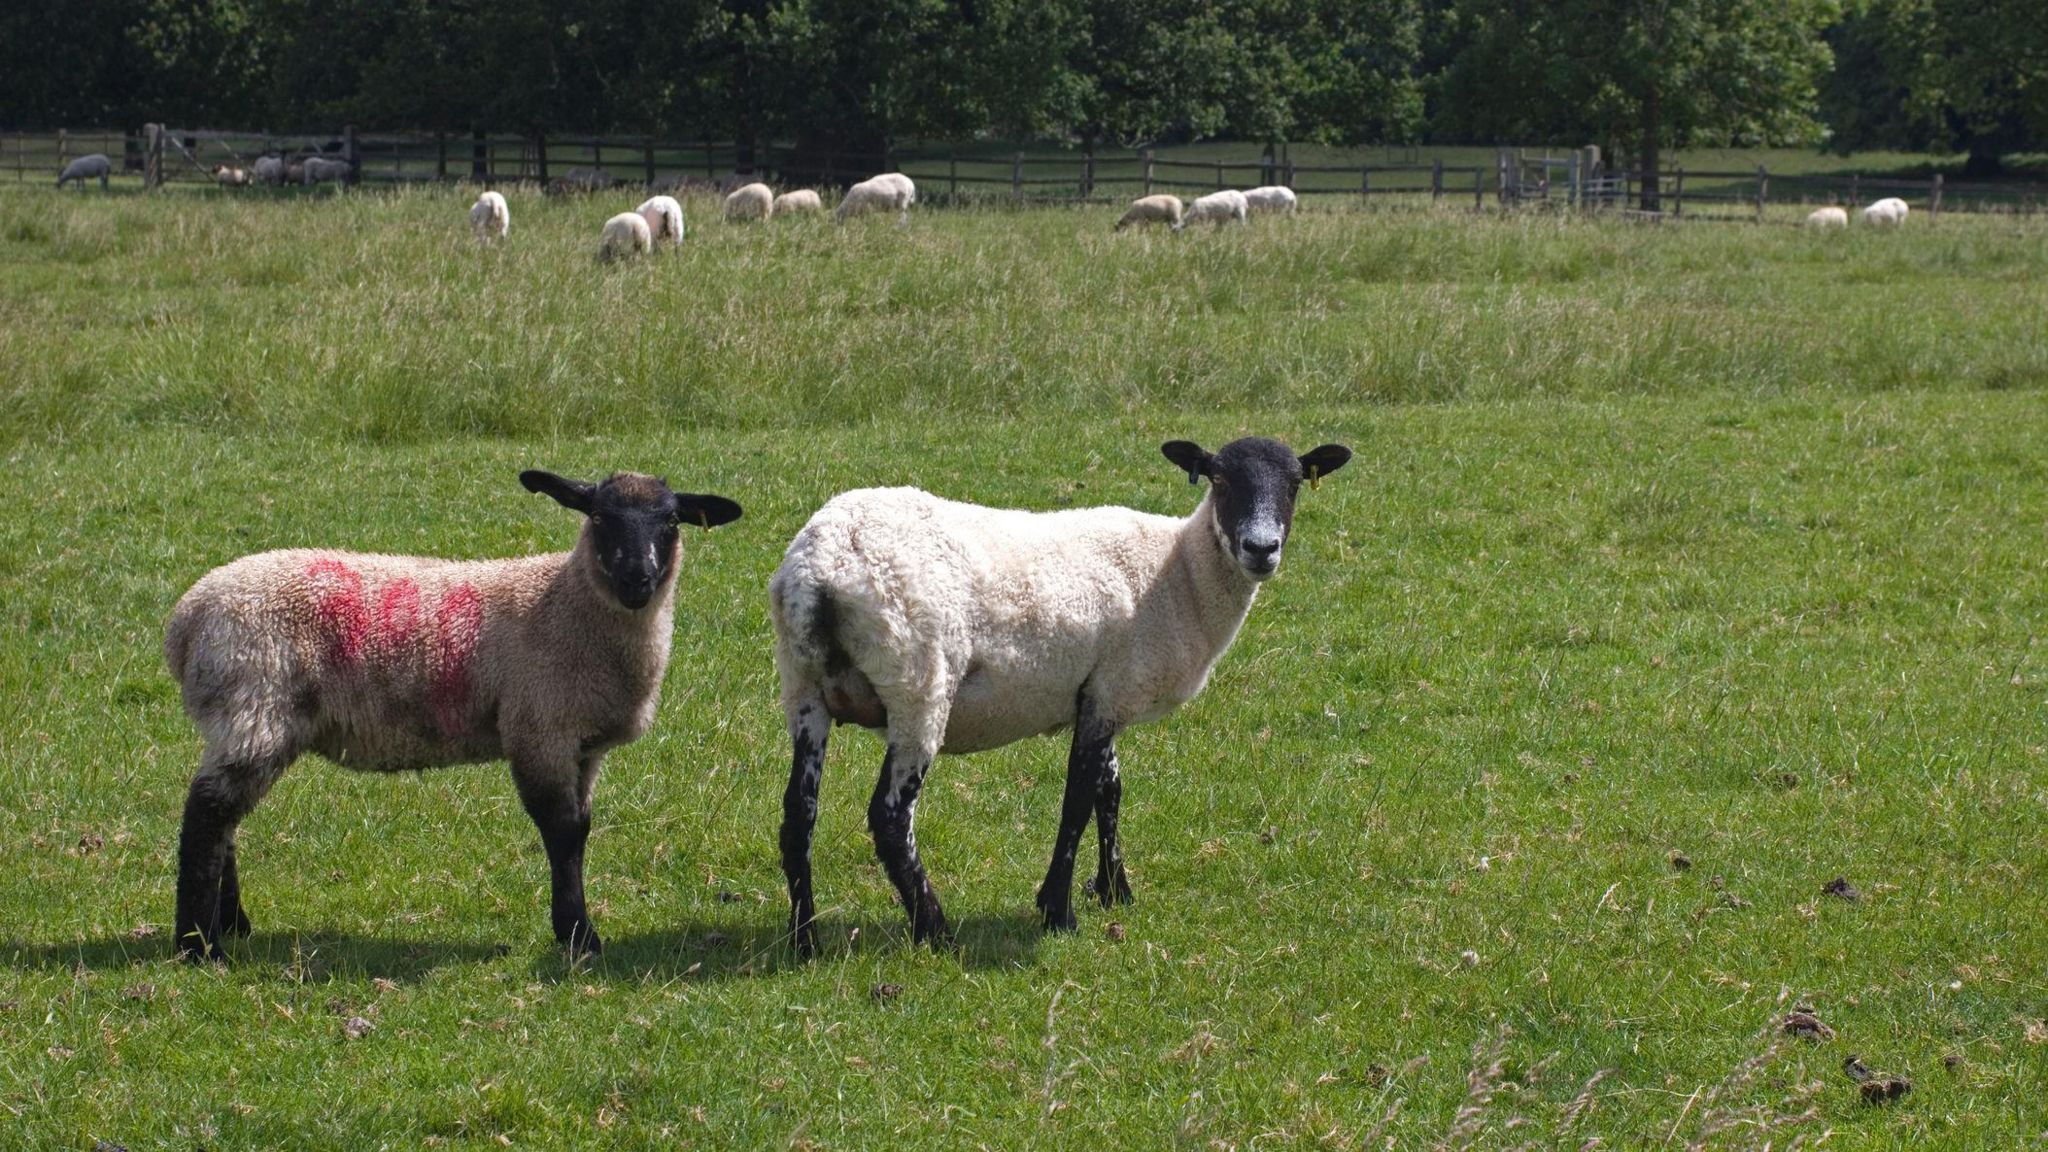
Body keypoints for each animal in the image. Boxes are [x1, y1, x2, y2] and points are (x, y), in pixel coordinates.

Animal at [164, 470, 743, 960]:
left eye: (671, 521)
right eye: (599, 517)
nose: (637, 578)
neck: (564, 605)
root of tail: (187, 621)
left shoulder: (582, 745)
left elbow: (581, 828)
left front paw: (575, 929)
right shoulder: (539, 726)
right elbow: (561, 831)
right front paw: (578, 936)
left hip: (244, 716)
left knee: (224, 818)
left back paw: (232, 925)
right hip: (256, 702)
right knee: (207, 815)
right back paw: (199, 946)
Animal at [771, 436, 1353, 955]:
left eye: (1294, 485)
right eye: (1220, 479)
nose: (1261, 549)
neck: (1179, 574)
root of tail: (822, 567)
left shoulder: (1103, 692)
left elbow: (1109, 790)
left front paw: (1116, 890)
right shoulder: (1112, 689)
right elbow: (1078, 797)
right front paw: (1058, 910)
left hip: (804, 687)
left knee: (799, 812)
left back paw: (807, 940)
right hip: (919, 683)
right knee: (891, 820)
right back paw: (935, 931)